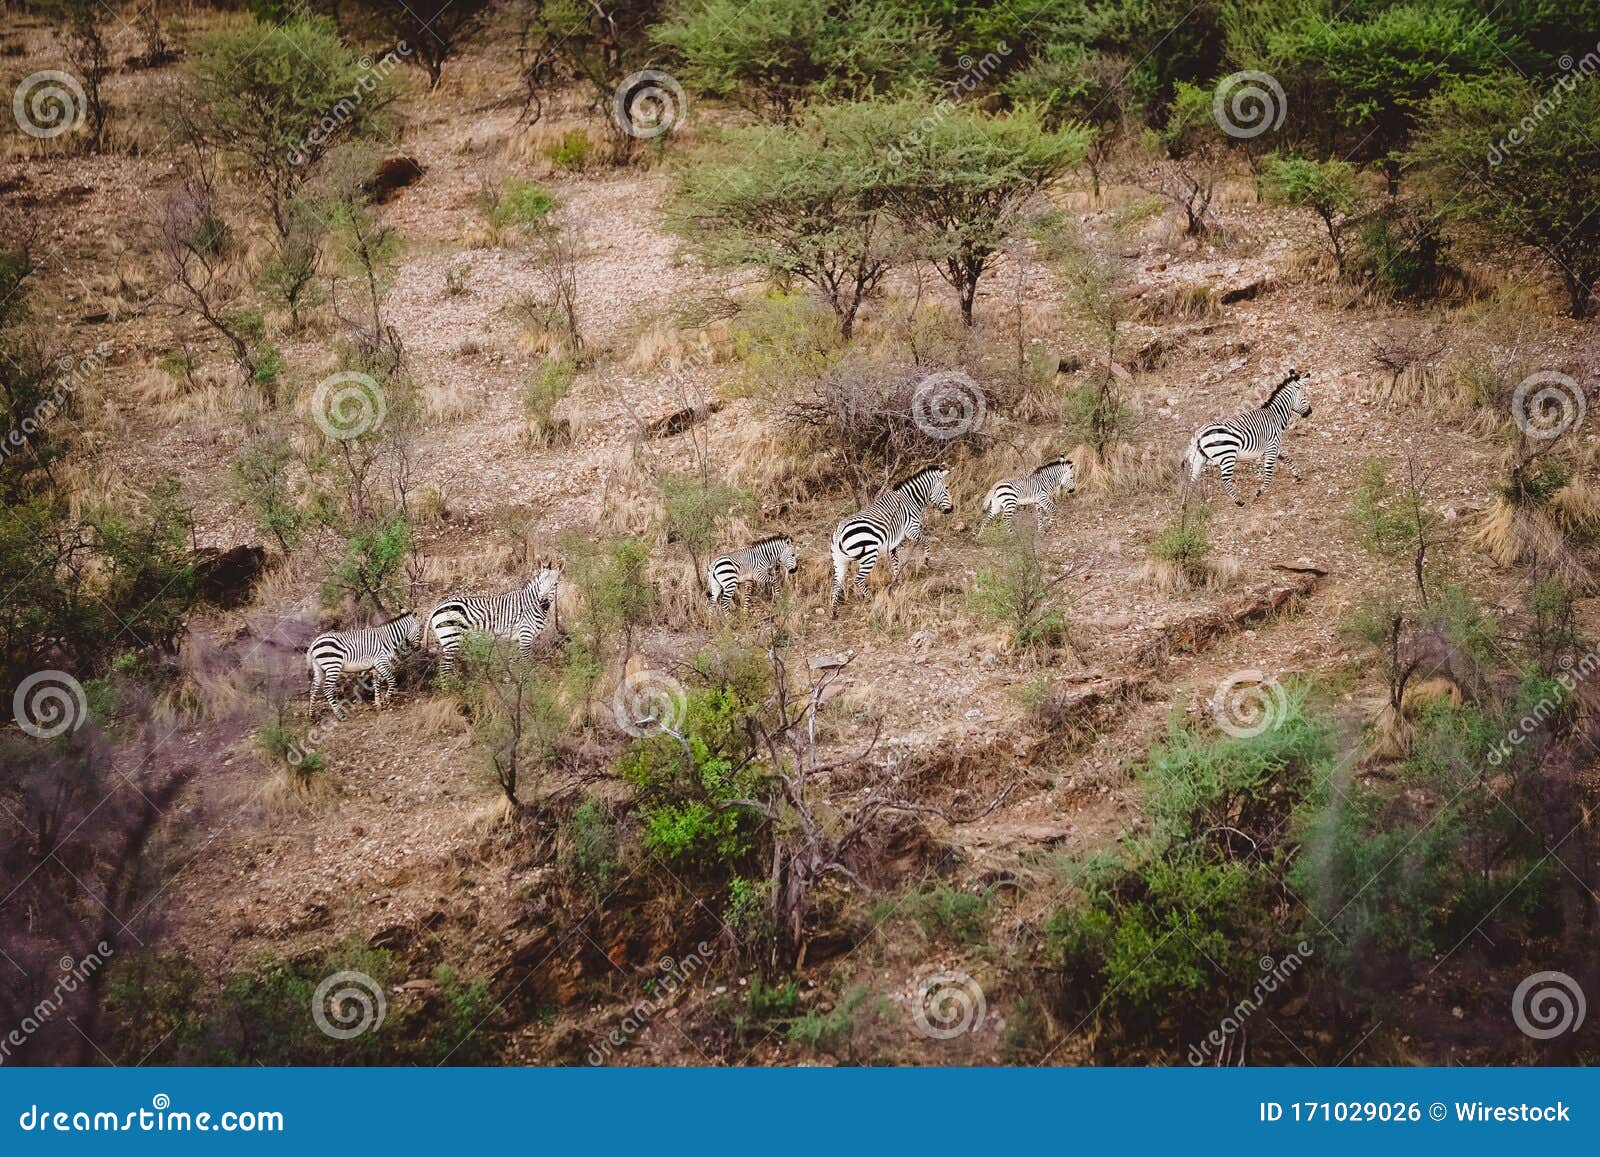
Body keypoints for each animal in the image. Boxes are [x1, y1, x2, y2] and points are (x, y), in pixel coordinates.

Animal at [427, 563, 561, 676]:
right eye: (541, 583)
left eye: (555, 584)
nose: (543, 602)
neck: (531, 605)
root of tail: (437, 607)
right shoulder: (525, 634)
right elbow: (524, 661)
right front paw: (525, 682)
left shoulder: (517, 638)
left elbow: (515, 662)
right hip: (451, 639)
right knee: (444, 666)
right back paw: (449, 687)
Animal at [830, 465, 954, 608]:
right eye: (946, 488)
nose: (952, 509)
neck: (911, 500)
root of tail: (839, 533)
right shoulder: (911, 531)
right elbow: (926, 541)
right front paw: (926, 560)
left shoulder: (894, 542)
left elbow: (895, 560)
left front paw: (896, 579)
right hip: (869, 555)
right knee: (858, 580)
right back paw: (871, 598)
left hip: (839, 560)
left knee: (836, 584)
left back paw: (833, 609)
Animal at [1184, 370, 1312, 505]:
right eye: (1304, 397)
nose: (1310, 411)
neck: (1275, 416)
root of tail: (1199, 433)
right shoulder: (1272, 447)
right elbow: (1269, 474)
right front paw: (1258, 493)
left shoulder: (1274, 446)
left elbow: (1288, 459)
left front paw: (1297, 476)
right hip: (1227, 455)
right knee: (1225, 480)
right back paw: (1238, 501)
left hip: (1198, 459)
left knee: (1191, 480)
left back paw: (1189, 502)